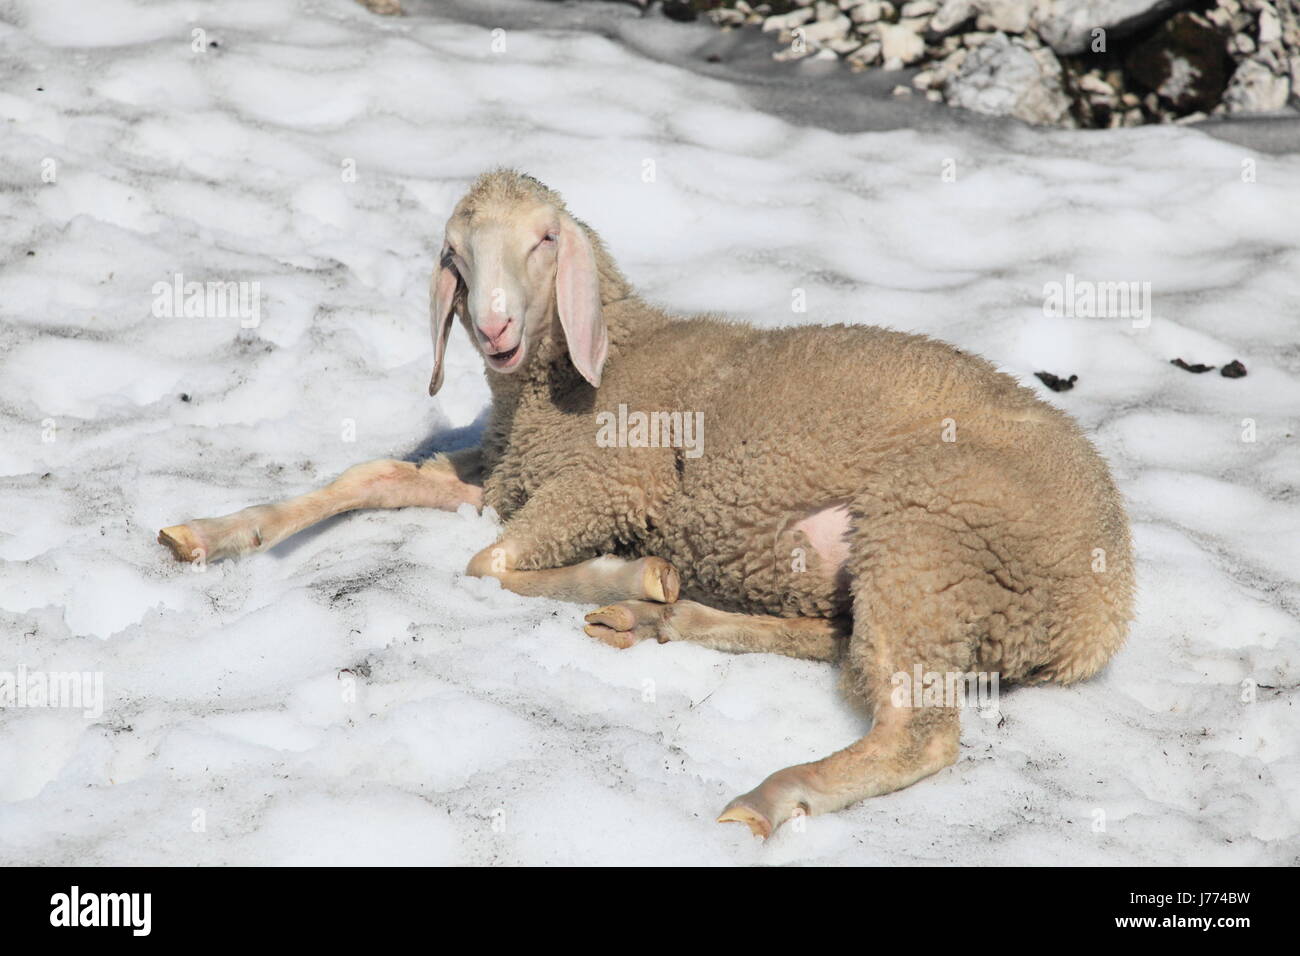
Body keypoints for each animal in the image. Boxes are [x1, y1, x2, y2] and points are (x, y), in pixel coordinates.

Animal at [159, 169, 1135, 839]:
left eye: (545, 239)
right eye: (454, 255)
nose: (497, 331)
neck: (569, 382)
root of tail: (1099, 614)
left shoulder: (610, 481)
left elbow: (490, 561)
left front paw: (630, 570)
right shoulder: (504, 470)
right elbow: (368, 480)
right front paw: (213, 531)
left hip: (933, 531)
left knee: (920, 731)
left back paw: (771, 787)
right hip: (900, 567)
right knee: (842, 647)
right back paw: (663, 621)